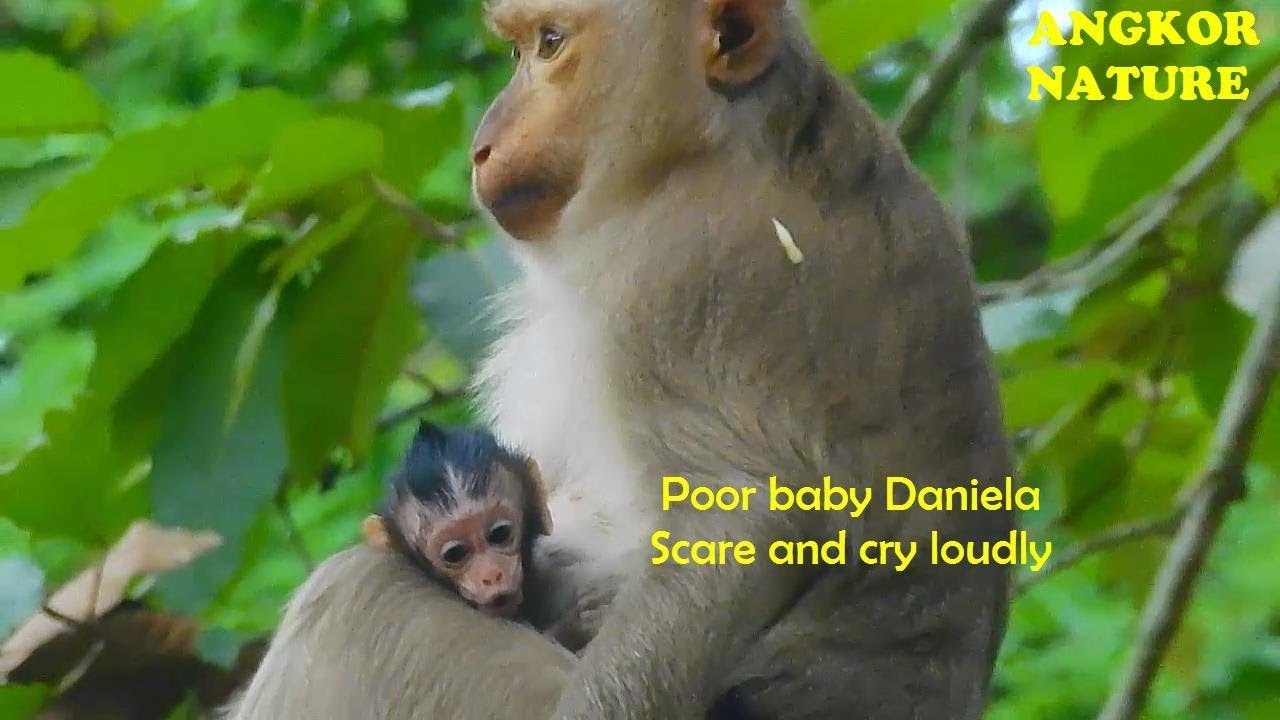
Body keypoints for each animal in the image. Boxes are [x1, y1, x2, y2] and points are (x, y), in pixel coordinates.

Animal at [225, 0, 1014, 718]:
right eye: (517, 49)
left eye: (551, 43)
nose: (483, 145)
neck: (709, 145)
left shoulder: (675, 274)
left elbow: (748, 519)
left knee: (353, 597)